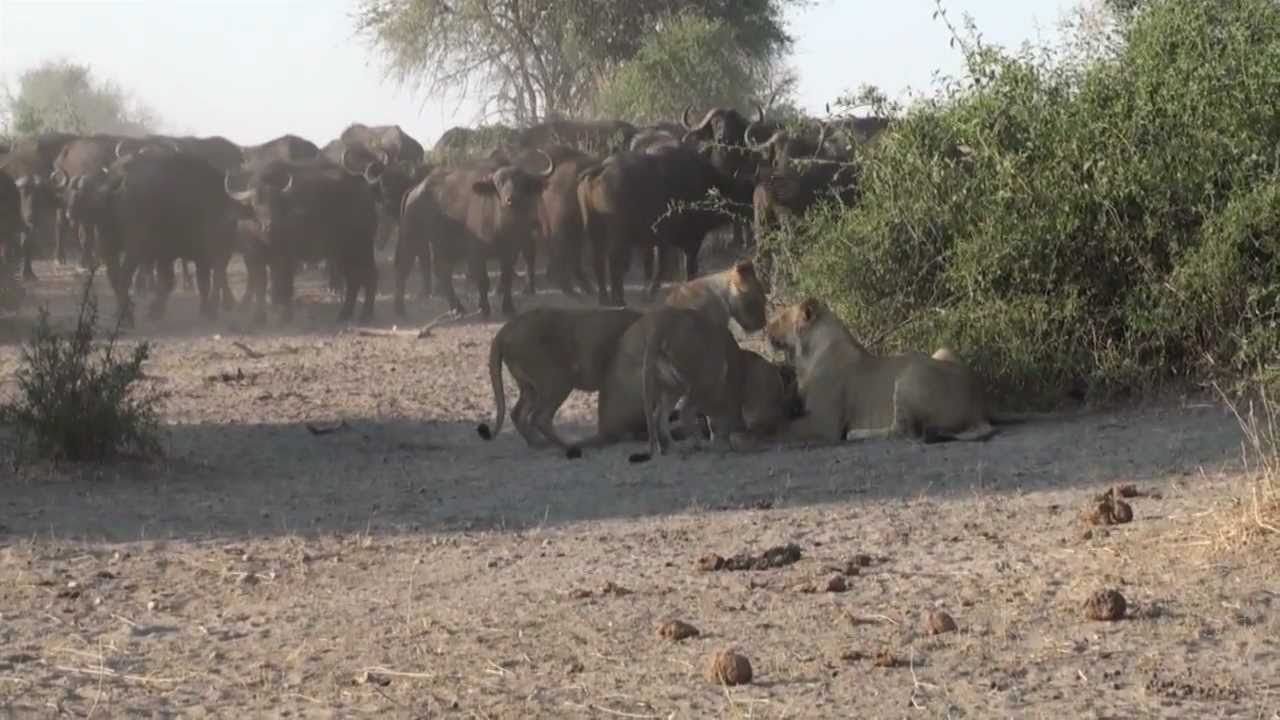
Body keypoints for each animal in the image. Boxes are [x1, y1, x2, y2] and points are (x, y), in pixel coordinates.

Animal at [225, 158, 378, 324]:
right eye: (255, 204)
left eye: (277, 203)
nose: (270, 225)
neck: (266, 240)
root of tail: (364, 189)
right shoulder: (253, 257)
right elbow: (261, 286)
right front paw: (258, 317)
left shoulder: (286, 258)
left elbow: (283, 286)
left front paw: (284, 316)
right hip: (344, 253)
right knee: (354, 280)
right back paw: (344, 314)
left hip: (362, 246)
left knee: (370, 275)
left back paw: (366, 315)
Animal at [398, 150, 556, 319]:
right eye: (498, 183)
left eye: (522, 182)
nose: (511, 199)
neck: (501, 226)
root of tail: (415, 189)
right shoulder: (476, 253)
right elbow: (483, 280)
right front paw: (484, 307)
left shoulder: (510, 253)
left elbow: (506, 279)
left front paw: (508, 307)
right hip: (412, 237)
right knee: (403, 268)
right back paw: (400, 309)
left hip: (442, 243)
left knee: (442, 271)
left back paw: (457, 307)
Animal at [477, 306, 642, 457]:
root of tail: (506, 328)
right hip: (558, 381)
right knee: (540, 417)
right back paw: (569, 446)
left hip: (530, 387)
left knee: (518, 413)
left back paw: (537, 444)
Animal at [577, 144, 751, 307]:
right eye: (746, 193)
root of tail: (601, 167)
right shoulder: (685, 240)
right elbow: (677, 268)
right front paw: (653, 293)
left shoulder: (654, 242)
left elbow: (653, 268)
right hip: (618, 234)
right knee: (614, 261)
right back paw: (618, 299)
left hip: (594, 230)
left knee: (598, 260)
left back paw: (604, 298)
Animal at [765, 298, 1008, 444]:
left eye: (781, 318)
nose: (765, 327)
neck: (807, 356)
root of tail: (981, 402)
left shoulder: (824, 423)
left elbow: (785, 427)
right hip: (943, 349)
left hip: (909, 377)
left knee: (904, 432)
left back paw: (856, 434)